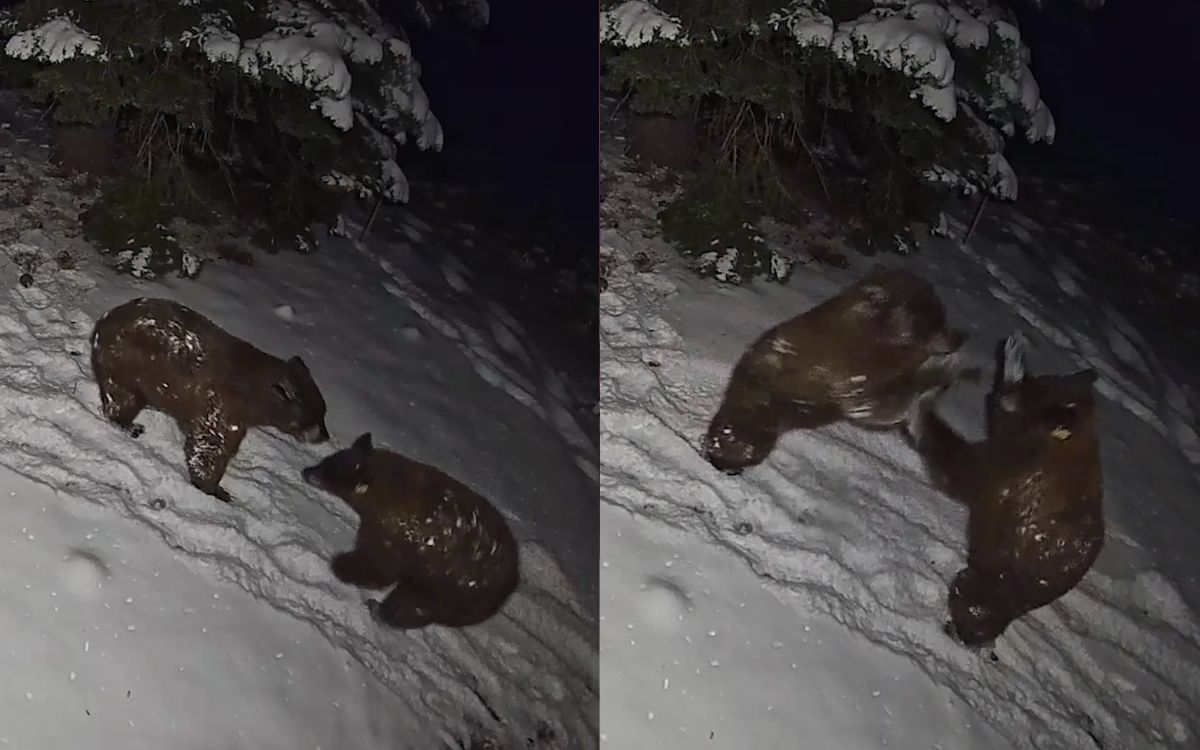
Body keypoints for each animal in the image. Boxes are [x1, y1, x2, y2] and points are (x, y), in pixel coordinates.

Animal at [90, 297, 330, 503]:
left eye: (323, 411)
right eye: (317, 414)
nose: (324, 436)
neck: (255, 398)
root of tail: (103, 322)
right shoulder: (223, 405)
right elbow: (210, 446)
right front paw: (217, 490)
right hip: (129, 364)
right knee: (124, 397)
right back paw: (130, 425)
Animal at [302, 433, 520, 630]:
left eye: (329, 474)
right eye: (327, 460)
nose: (306, 471)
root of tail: (510, 582)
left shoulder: (391, 534)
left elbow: (380, 566)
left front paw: (341, 566)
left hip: (451, 590)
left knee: (415, 603)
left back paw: (382, 612)